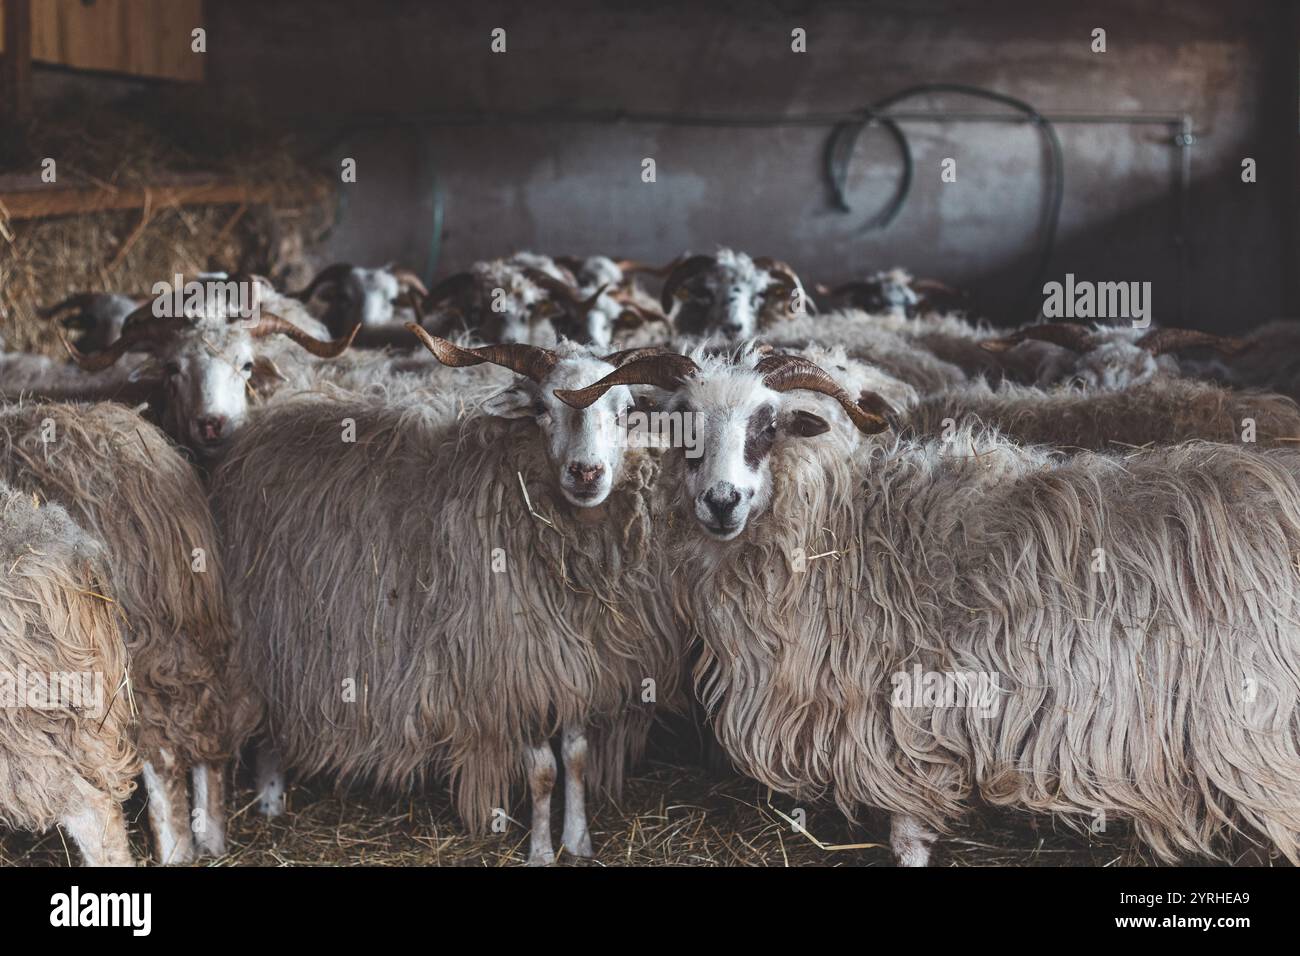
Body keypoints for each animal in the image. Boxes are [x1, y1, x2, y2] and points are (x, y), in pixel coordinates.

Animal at [209, 332, 686, 864]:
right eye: (541, 408)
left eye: (625, 411)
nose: (586, 473)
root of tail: (271, 416)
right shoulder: (511, 674)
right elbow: (543, 772)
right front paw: (542, 852)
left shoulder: (572, 664)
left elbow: (576, 758)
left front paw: (578, 841)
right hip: (262, 629)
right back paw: (254, 805)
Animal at [558, 346, 1300, 866]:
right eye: (684, 427)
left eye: (767, 426)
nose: (721, 501)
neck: (832, 528)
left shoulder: (896, 722)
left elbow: (908, 837)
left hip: (1255, 735)